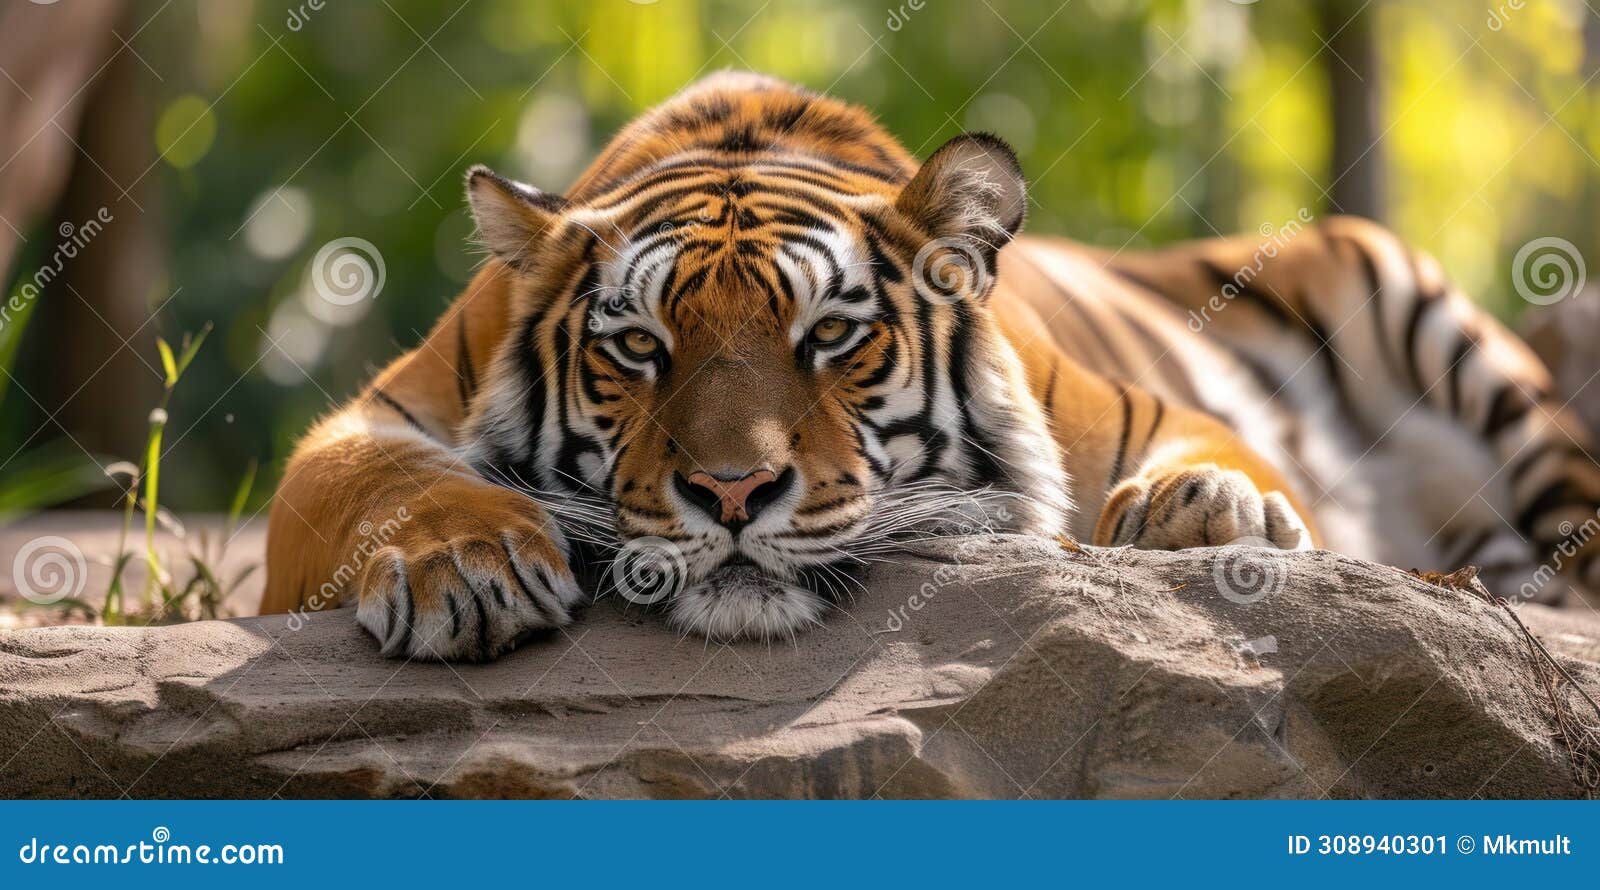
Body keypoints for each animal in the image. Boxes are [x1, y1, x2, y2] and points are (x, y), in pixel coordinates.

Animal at [262, 71, 1600, 661]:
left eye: (831, 336)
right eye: (638, 347)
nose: (732, 494)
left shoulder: (1133, 401)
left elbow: (1225, 449)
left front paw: (1207, 512)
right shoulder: (379, 413)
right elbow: (368, 479)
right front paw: (467, 566)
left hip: (1432, 319)